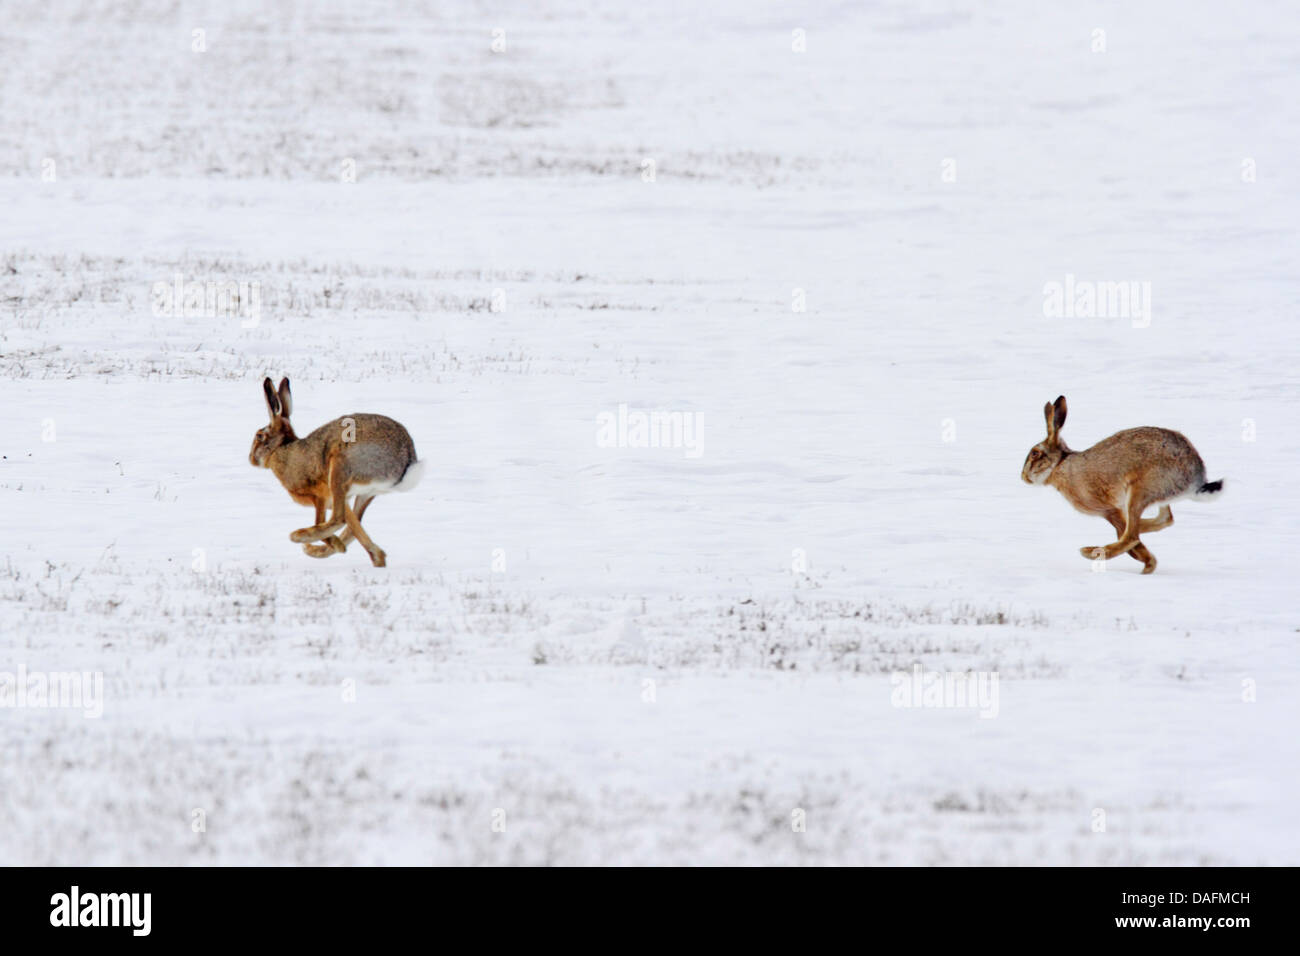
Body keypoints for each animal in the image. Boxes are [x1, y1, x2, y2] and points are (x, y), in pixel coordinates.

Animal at [249, 377, 423, 567]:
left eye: (259, 436)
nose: (251, 459)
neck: (280, 449)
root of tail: (406, 460)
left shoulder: (319, 495)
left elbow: (320, 520)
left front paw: (334, 545)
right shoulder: (337, 498)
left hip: (339, 467)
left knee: (338, 519)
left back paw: (303, 538)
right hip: (363, 492)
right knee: (355, 525)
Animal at [1021, 396, 1222, 574]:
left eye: (1035, 453)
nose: (1023, 477)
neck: (1060, 464)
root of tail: (1196, 478)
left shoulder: (1108, 510)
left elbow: (1129, 538)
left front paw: (1147, 561)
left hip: (1139, 491)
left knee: (1131, 535)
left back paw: (1093, 552)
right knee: (1162, 520)